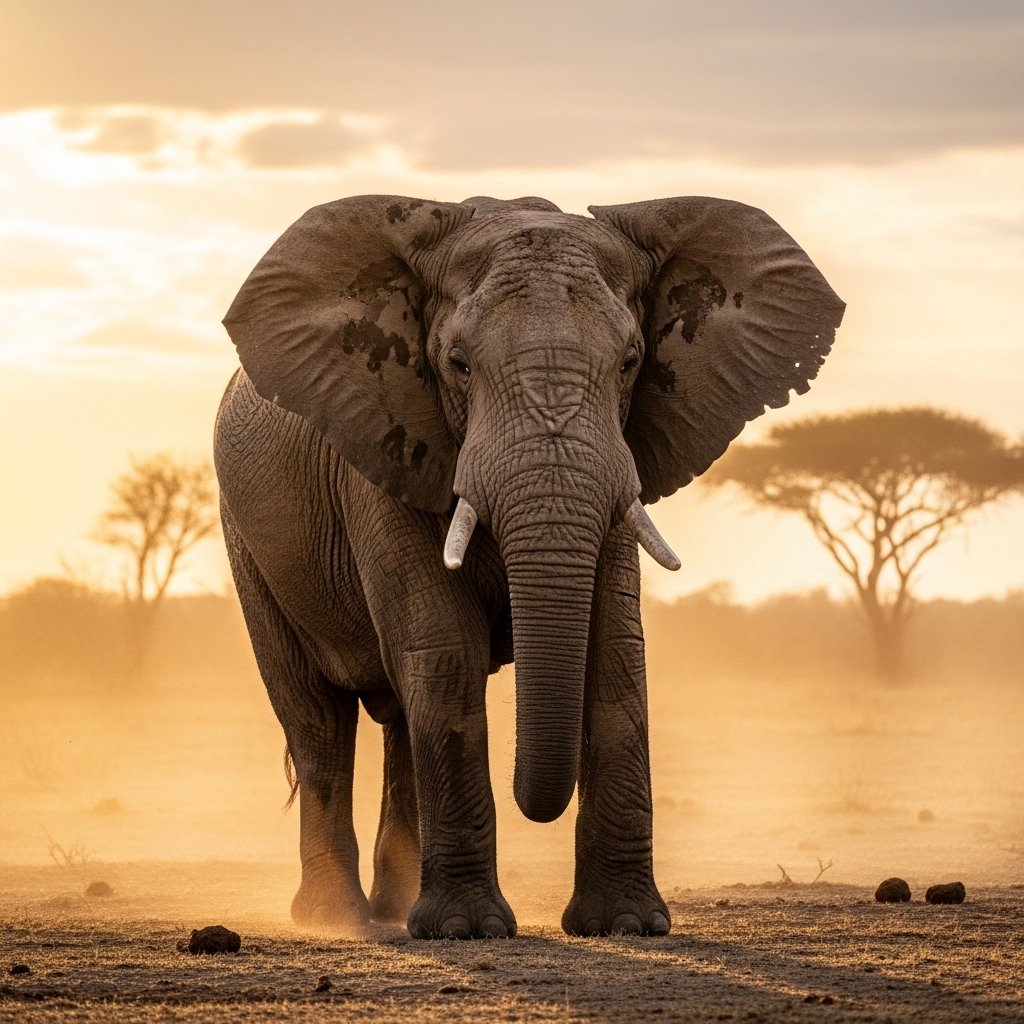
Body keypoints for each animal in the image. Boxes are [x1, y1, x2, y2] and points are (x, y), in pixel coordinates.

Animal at [214, 193, 844, 939]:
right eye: (457, 363)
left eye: (631, 362)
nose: (533, 803)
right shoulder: (384, 449)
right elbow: (445, 648)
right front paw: (467, 931)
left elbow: (615, 652)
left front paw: (625, 925)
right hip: (247, 542)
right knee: (318, 721)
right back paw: (338, 918)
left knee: (397, 720)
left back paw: (394, 909)